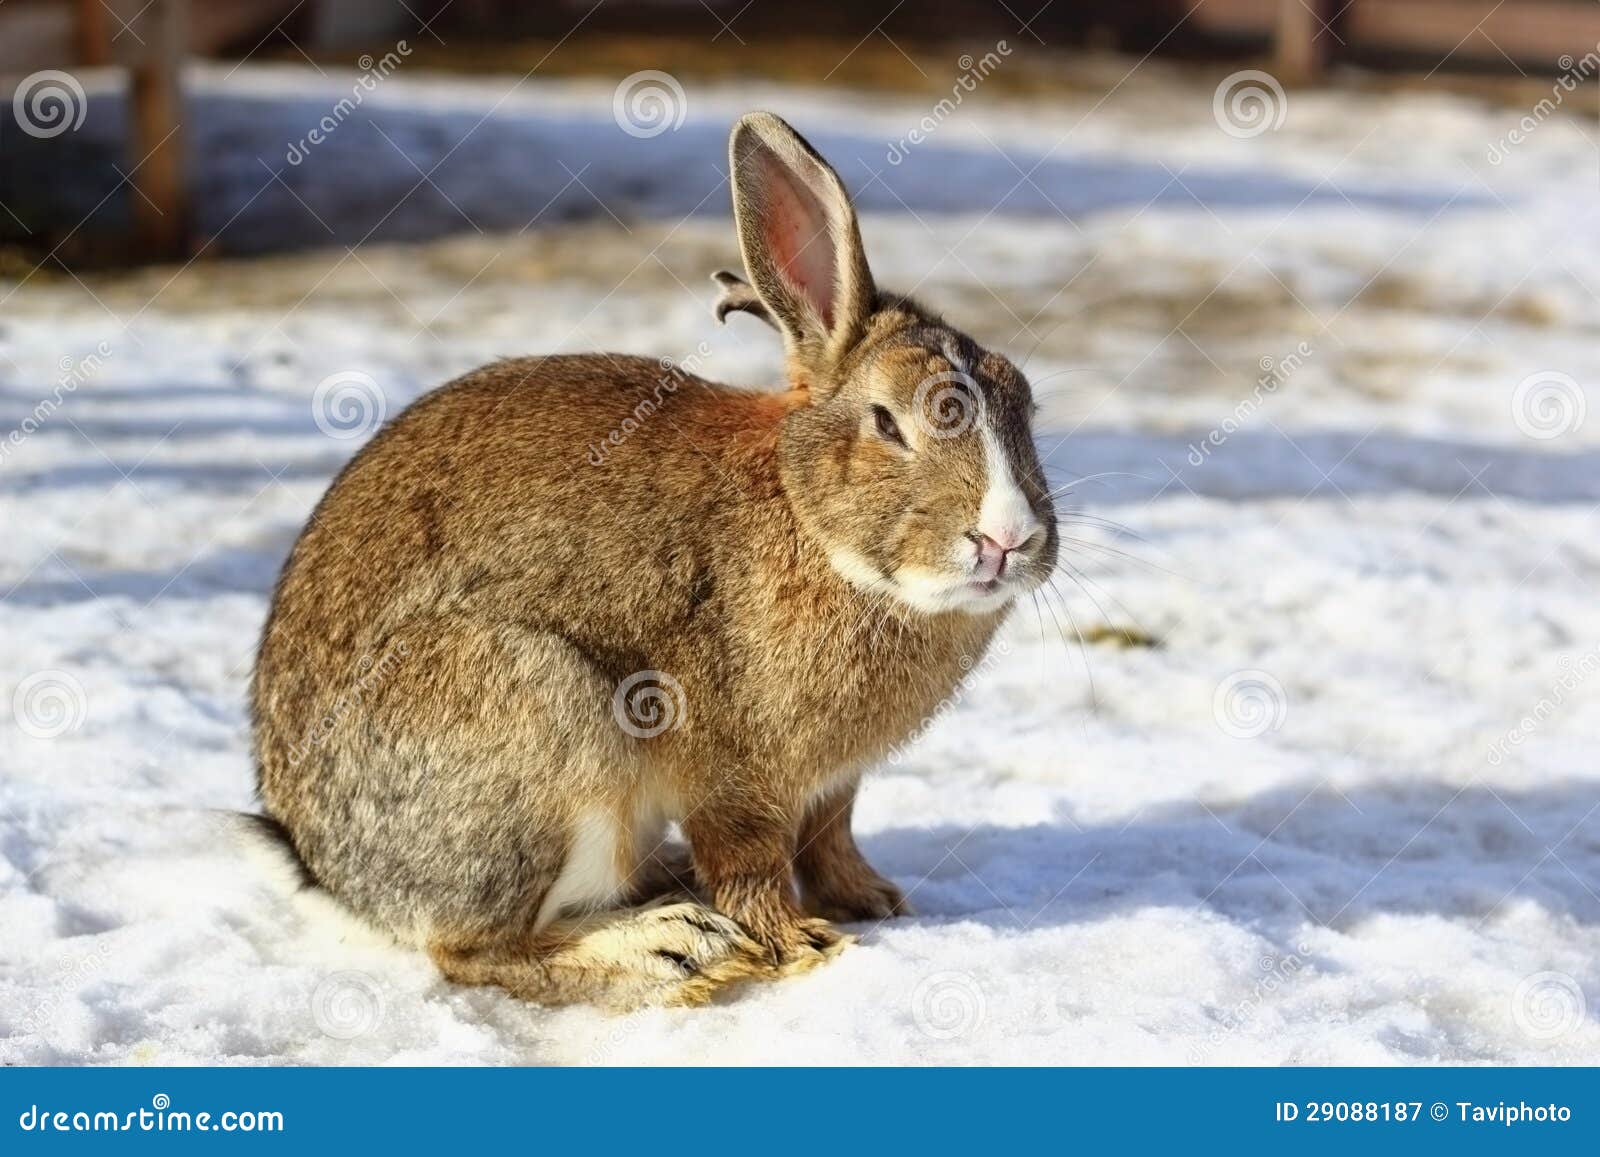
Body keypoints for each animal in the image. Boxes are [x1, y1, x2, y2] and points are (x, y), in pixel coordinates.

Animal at [250, 111, 1058, 1010]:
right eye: (888, 423)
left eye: (1027, 407)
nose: (1009, 538)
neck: (809, 521)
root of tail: (325, 861)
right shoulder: (731, 772)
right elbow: (751, 864)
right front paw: (802, 943)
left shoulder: (831, 788)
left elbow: (829, 838)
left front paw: (872, 899)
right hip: (537, 720)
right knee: (474, 949)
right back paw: (672, 946)